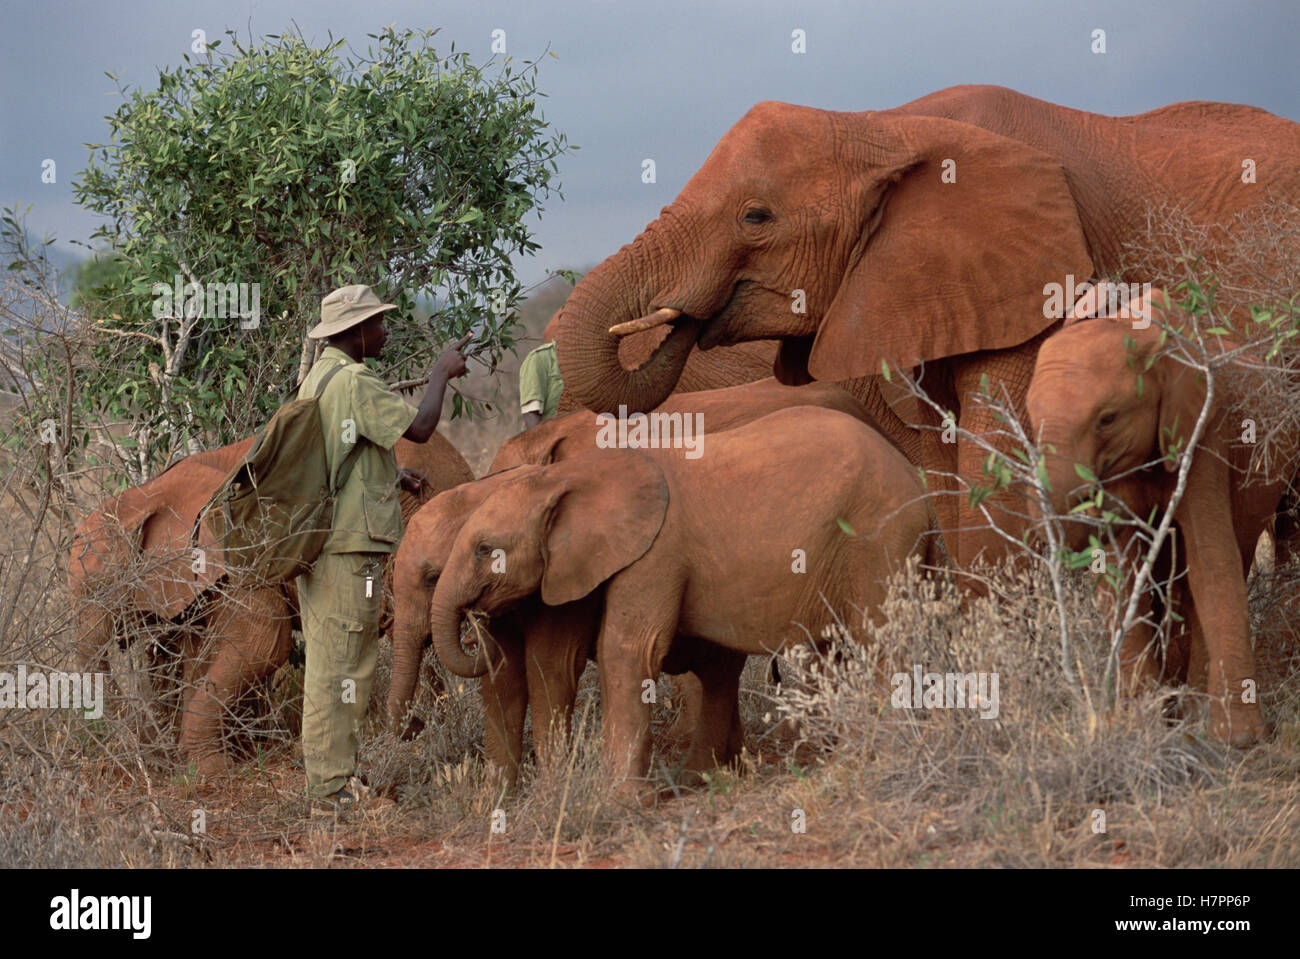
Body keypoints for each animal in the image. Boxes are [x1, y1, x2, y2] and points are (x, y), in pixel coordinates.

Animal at [70, 430, 473, 774]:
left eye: (98, 589)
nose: (135, 744)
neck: (149, 491)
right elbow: (195, 653)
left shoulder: (237, 555)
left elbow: (263, 644)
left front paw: (211, 771)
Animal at [388, 378, 902, 786]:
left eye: (432, 578)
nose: (410, 731)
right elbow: (504, 680)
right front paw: (499, 798)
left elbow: (550, 665)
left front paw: (554, 788)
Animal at [551, 84, 1300, 568]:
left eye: (755, 218)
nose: (680, 319)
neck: (883, 125)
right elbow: (944, 470)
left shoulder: (1033, 281)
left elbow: (997, 456)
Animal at [1025, 288, 1296, 746]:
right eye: (1029, 420)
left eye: (1107, 419)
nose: (1084, 497)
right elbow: (1121, 570)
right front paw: (1140, 729)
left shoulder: (1204, 428)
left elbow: (1211, 560)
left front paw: (1237, 741)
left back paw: (1196, 714)